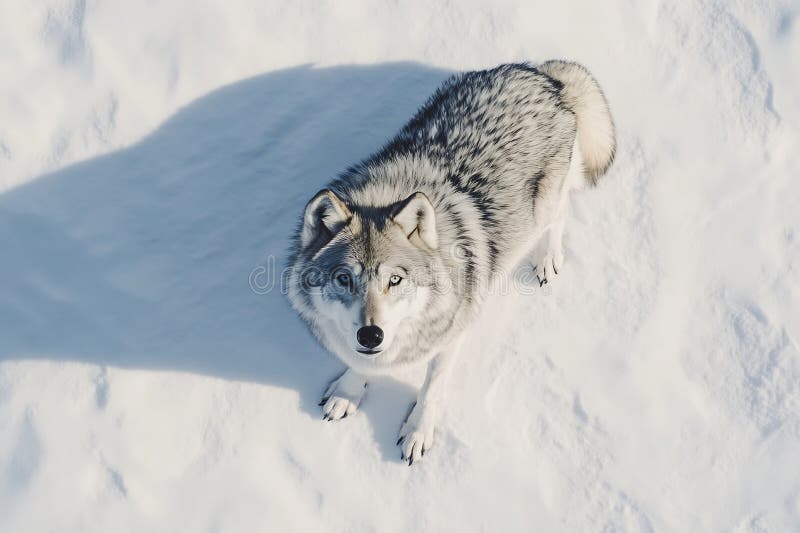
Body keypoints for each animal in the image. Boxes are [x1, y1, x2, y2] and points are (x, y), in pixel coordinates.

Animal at [286, 61, 615, 464]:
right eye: (343, 279)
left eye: (395, 280)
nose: (371, 335)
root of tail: (541, 75)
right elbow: (358, 363)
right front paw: (348, 392)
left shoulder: (452, 337)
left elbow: (432, 389)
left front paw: (417, 434)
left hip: (544, 208)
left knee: (562, 211)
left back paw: (547, 259)